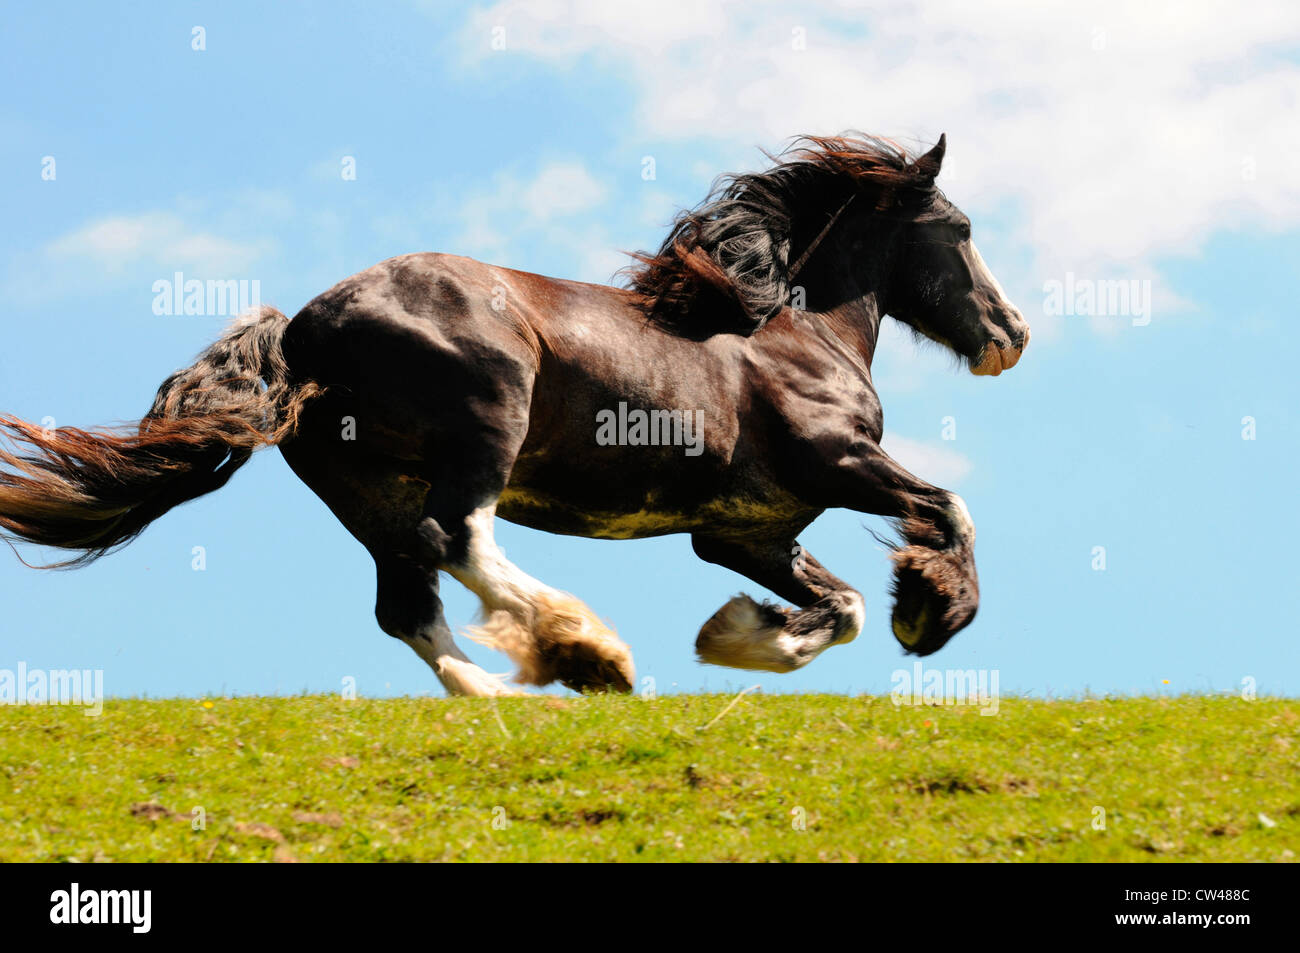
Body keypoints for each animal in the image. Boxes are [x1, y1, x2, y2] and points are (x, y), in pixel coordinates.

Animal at [0, 133, 1029, 697]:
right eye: (962, 230)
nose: (1010, 333)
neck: (788, 329)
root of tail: (304, 328)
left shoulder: (747, 532)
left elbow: (839, 603)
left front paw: (747, 635)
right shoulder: (836, 462)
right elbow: (950, 509)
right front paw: (932, 611)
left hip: (366, 485)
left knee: (407, 600)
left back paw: (516, 693)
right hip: (486, 424)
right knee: (459, 540)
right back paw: (587, 652)